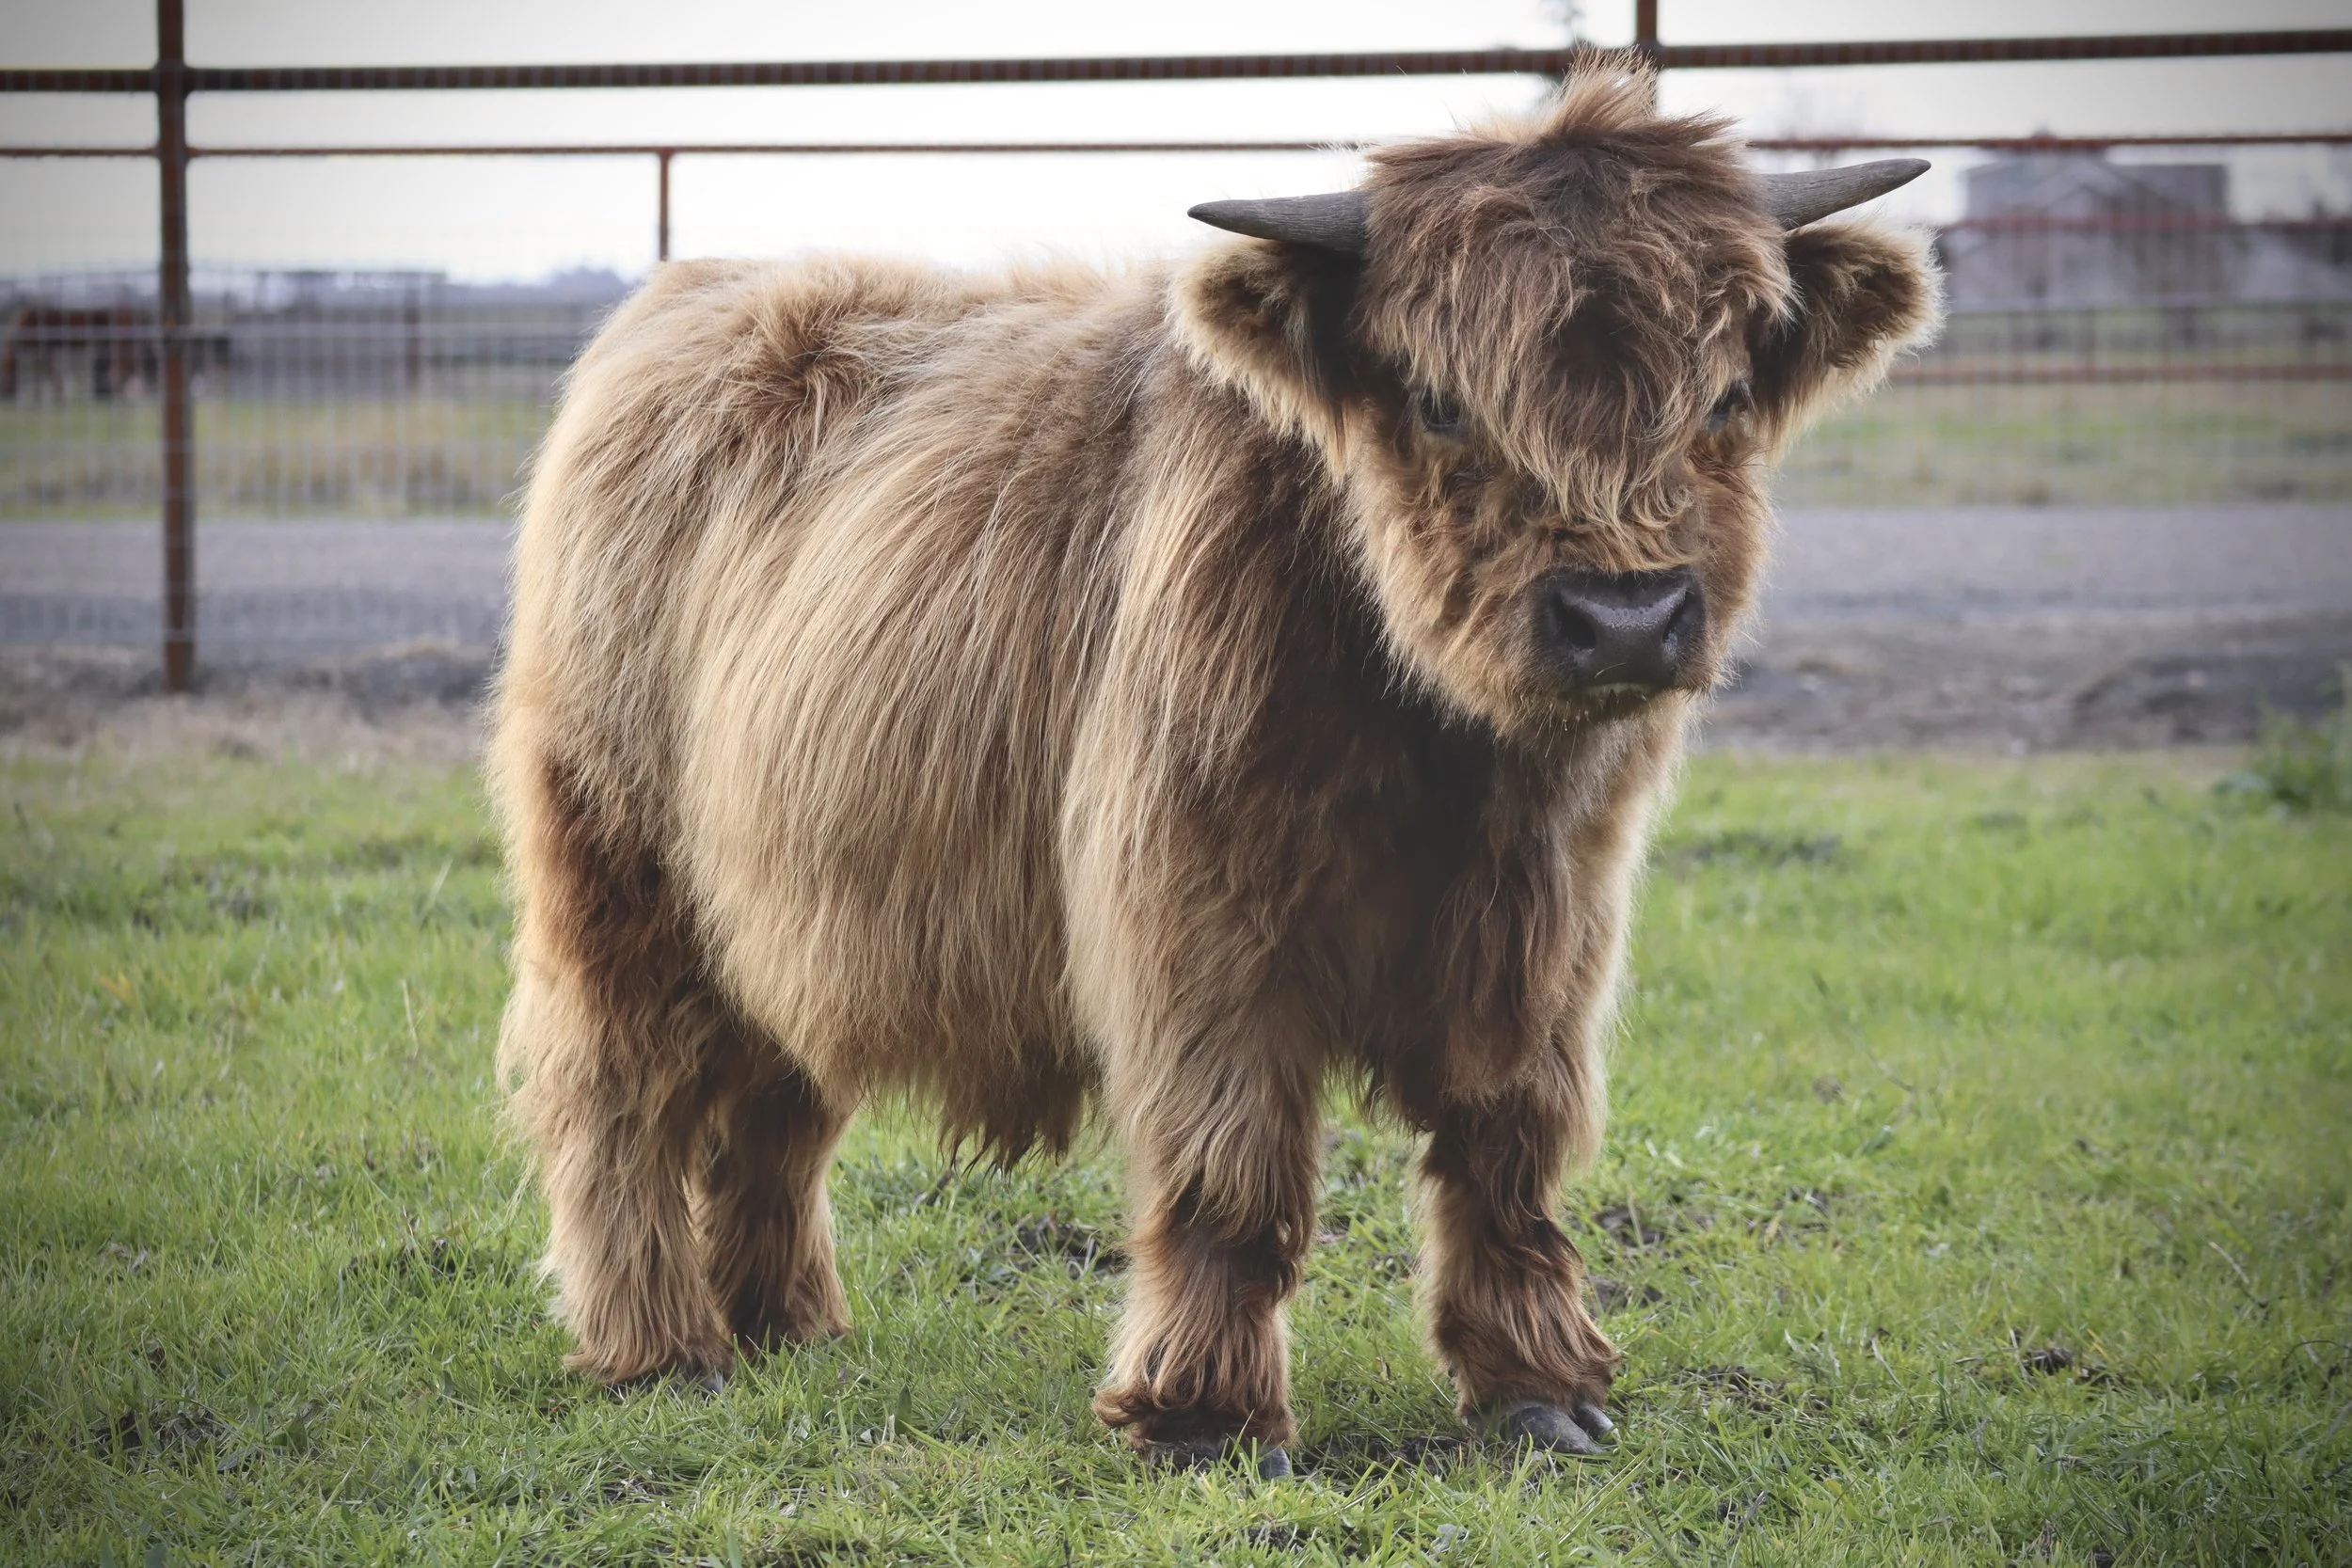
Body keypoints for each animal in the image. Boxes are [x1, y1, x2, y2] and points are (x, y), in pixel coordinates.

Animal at [489, 62, 1938, 1474]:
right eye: (1441, 401)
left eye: (1727, 393)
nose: (1625, 616)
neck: (1440, 758)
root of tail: (685, 299)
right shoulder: (1202, 920)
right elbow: (1235, 1167)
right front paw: (1205, 1417)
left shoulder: (1547, 927)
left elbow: (1509, 1150)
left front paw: (1538, 1391)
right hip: (615, 859)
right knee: (616, 1084)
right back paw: (661, 1346)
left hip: (793, 892)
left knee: (776, 1092)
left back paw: (788, 1324)